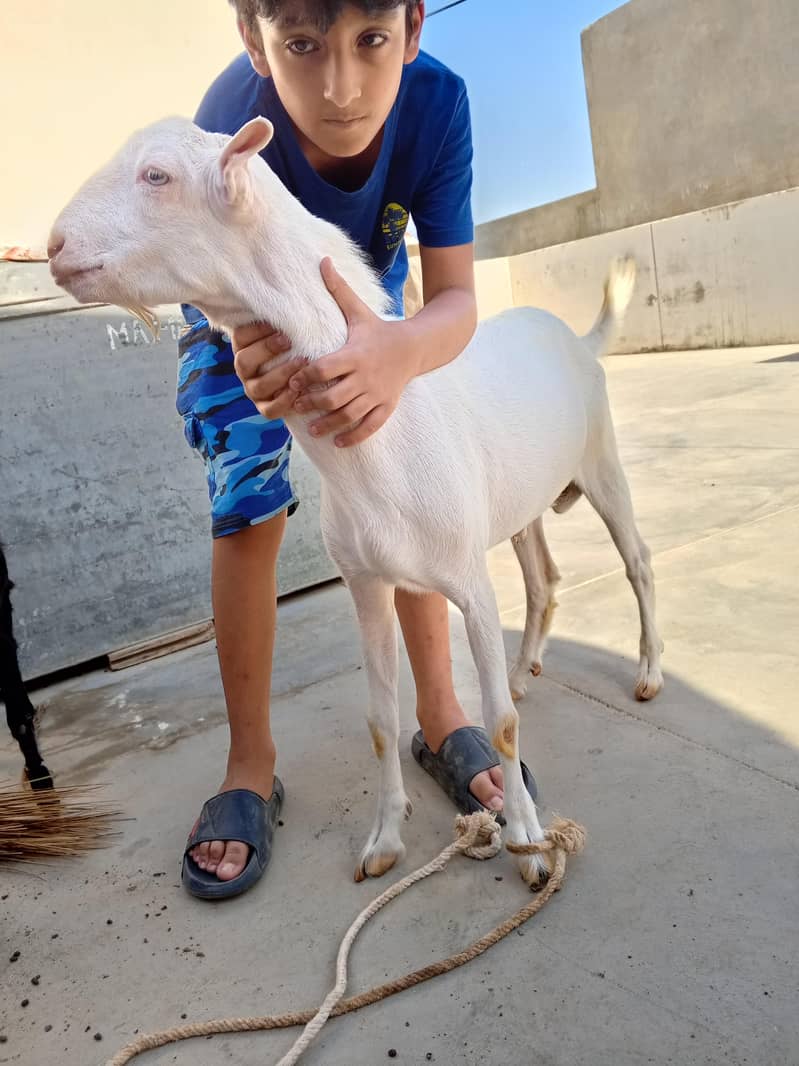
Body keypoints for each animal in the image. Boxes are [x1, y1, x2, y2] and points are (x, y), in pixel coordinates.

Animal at [48, 116, 663, 886]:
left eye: (156, 176)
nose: (53, 247)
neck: (384, 444)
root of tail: (575, 337)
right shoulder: (367, 581)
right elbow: (378, 718)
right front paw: (385, 840)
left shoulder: (468, 579)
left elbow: (498, 722)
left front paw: (526, 842)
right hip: (519, 505)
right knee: (543, 578)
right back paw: (525, 671)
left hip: (601, 459)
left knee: (636, 559)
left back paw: (646, 673)